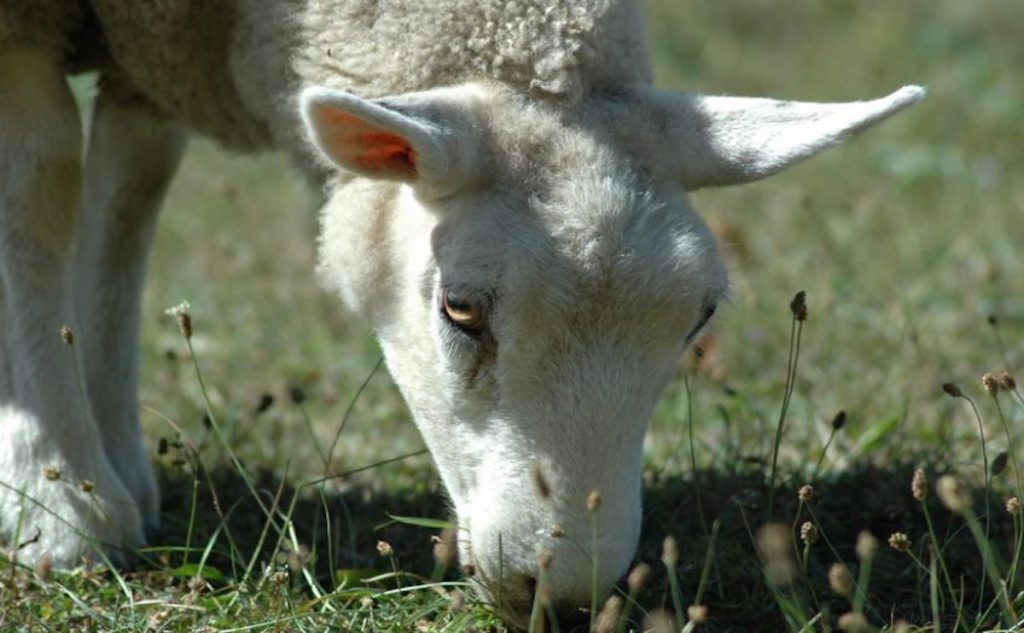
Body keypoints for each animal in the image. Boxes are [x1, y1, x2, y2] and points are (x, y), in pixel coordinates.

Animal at [0, 0, 922, 615]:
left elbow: (129, 196)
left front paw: (114, 457)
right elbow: (36, 178)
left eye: (698, 318)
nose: (564, 591)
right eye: (462, 308)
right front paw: (64, 503)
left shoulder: (152, 55)